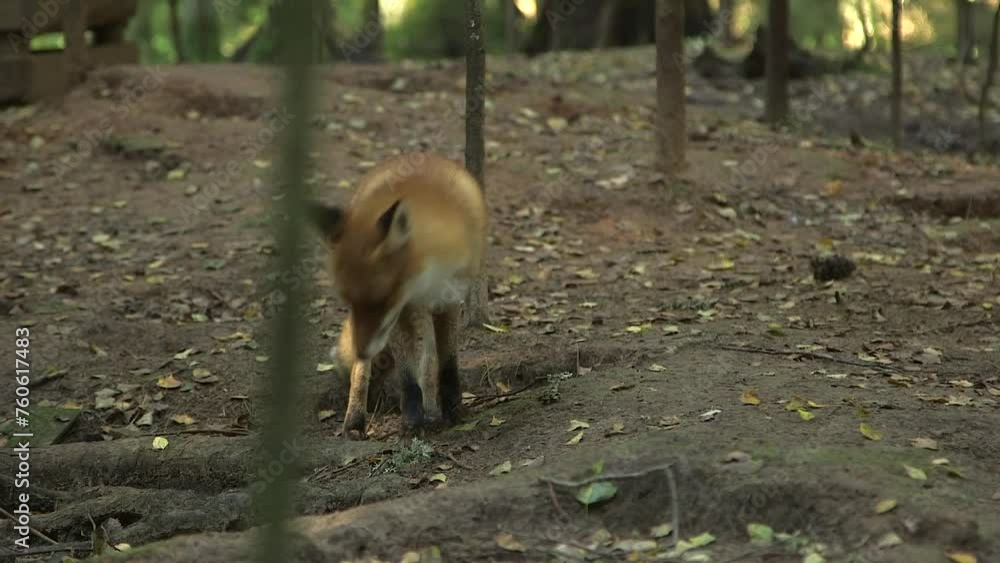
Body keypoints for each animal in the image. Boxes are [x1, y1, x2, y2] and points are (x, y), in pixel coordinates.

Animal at [309, 153, 488, 439]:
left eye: (379, 301)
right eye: (350, 302)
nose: (361, 350)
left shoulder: (448, 300)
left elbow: (446, 364)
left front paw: (453, 410)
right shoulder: (400, 313)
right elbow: (407, 376)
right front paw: (412, 421)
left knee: (429, 361)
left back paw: (433, 407)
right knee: (363, 373)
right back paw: (355, 420)